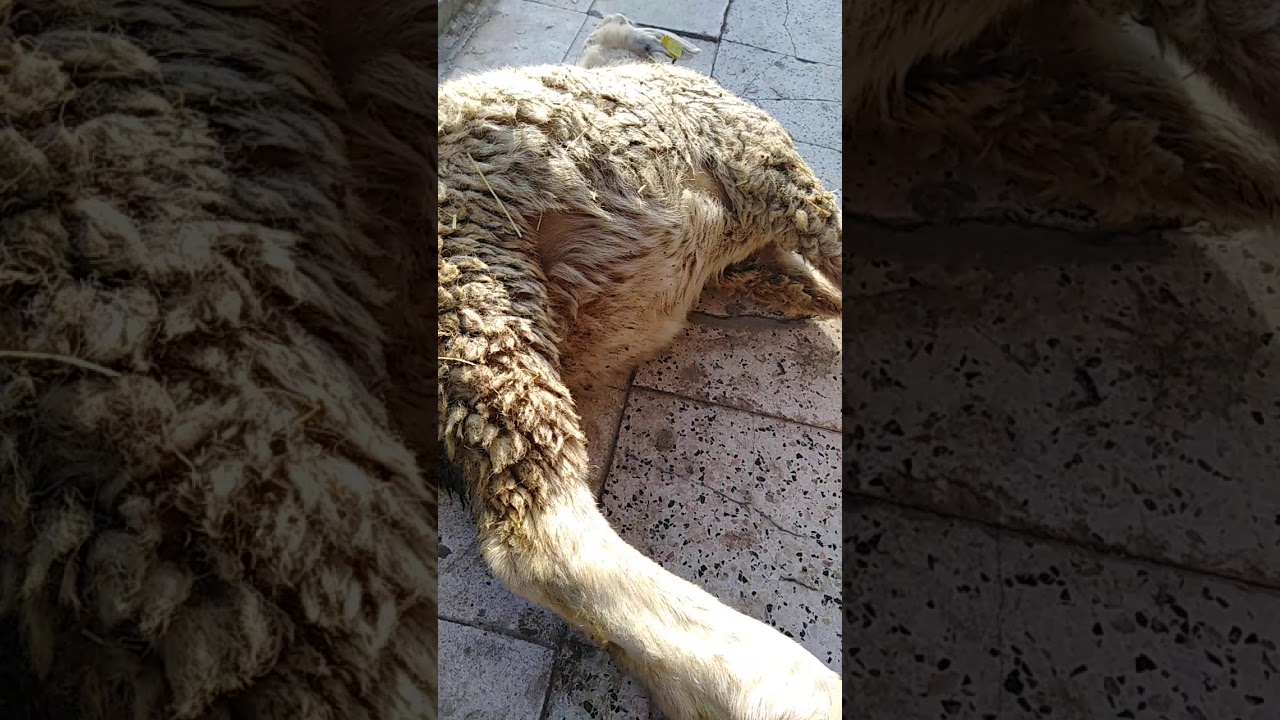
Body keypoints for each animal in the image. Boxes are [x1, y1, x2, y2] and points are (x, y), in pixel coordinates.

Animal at [438, 14, 843, 720]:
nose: (648, 41)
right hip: (474, 282)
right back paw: (793, 689)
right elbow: (837, 249)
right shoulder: (773, 172)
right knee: (544, 533)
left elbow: (806, 288)